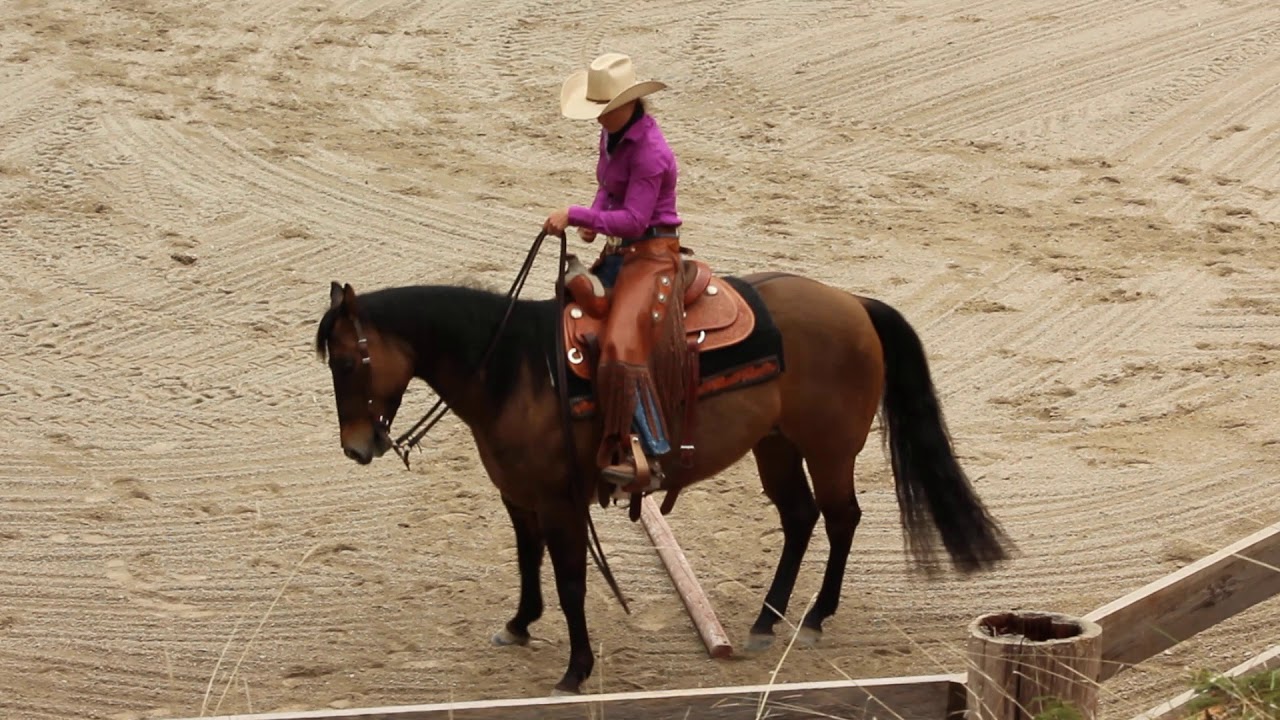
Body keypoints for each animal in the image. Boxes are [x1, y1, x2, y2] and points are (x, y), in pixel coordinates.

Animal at [313, 246, 1015, 696]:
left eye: (346, 362)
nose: (356, 448)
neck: (519, 370)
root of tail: (852, 303)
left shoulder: (561, 501)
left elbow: (570, 580)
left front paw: (575, 669)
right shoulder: (519, 495)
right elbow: (527, 560)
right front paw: (519, 625)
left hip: (829, 447)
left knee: (841, 518)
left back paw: (813, 619)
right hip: (776, 445)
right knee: (800, 517)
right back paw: (765, 622)